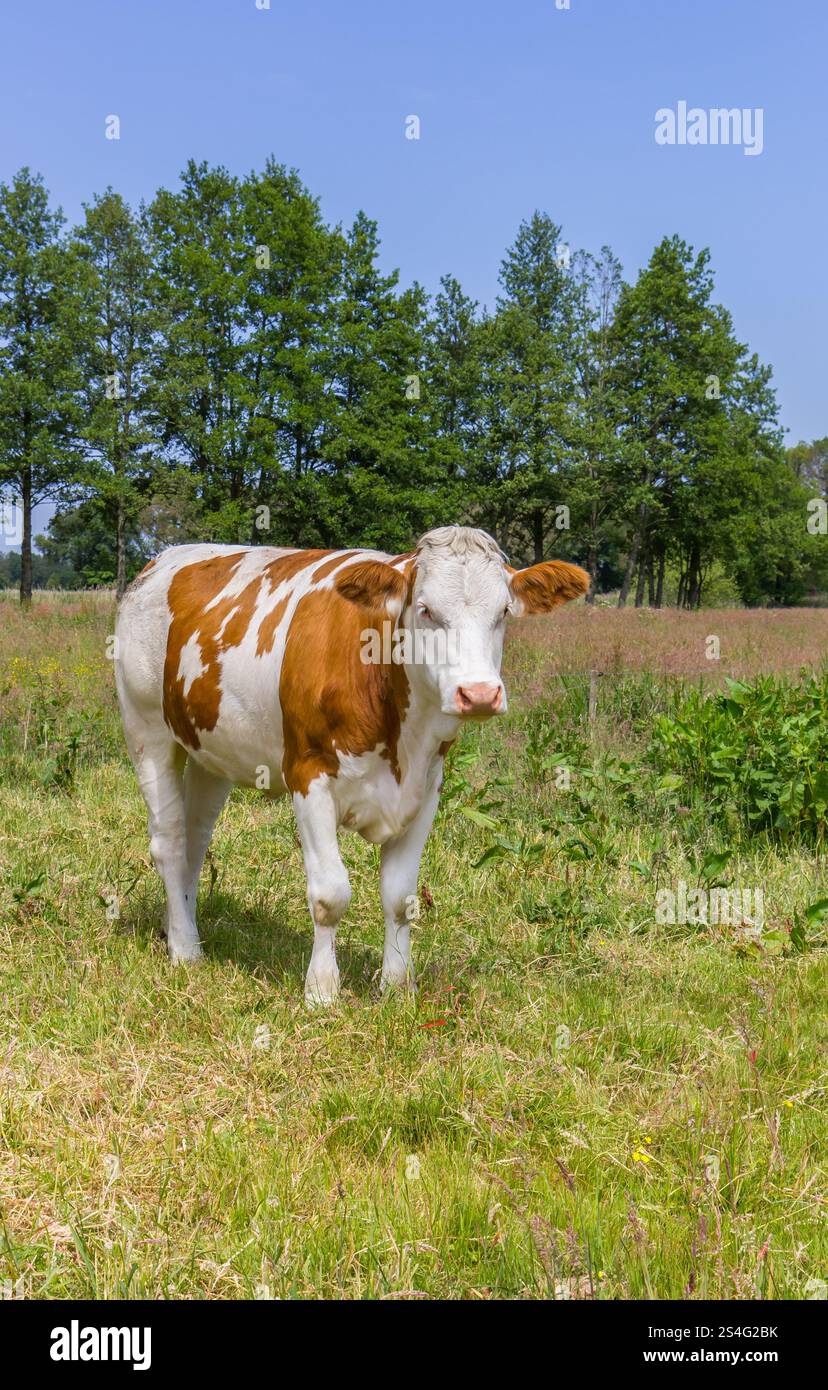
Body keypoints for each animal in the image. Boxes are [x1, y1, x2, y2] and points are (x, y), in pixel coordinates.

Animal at [115, 526, 589, 1004]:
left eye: (504, 611)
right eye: (425, 609)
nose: (478, 694)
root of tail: (163, 560)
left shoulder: (426, 787)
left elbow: (400, 896)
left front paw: (397, 987)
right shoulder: (309, 775)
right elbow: (330, 895)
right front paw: (321, 991)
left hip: (210, 752)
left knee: (195, 840)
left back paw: (181, 927)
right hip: (147, 730)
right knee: (170, 842)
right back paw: (185, 949)